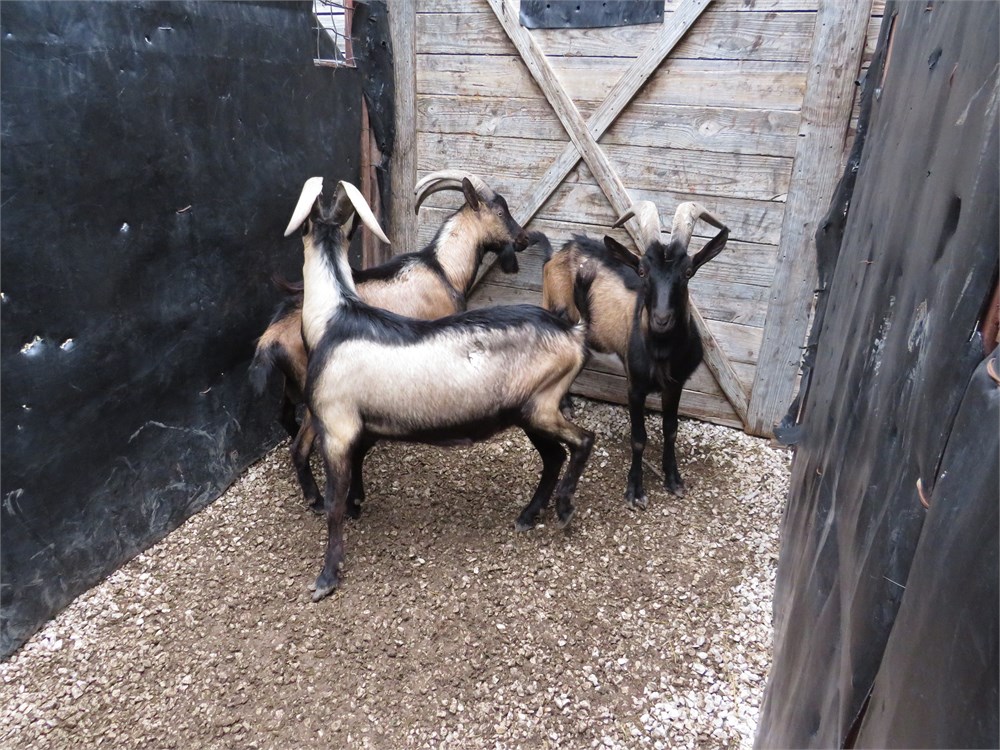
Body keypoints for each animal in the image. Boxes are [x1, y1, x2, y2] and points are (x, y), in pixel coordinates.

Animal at [250, 170, 530, 516]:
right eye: (501, 212)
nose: (524, 239)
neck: (443, 269)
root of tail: (273, 332)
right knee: (298, 446)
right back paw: (315, 499)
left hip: (293, 383)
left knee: (286, 419)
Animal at [285, 177, 595, 601]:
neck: (334, 319)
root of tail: (573, 332)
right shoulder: (365, 424)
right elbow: (358, 465)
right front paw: (357, 503)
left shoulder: (336, 425)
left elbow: (333, 501)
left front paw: (327, 577)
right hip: (529, 411)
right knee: (554, 456)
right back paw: (529, 515)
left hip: (542, 406)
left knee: (581, 442)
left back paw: (563, 509)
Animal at [542, 200, 729, 508]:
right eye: (642, 271)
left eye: (688, 272)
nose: (661, 319)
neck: (662, 353)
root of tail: (564, 249)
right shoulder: (635, 386)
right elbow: (639, 438)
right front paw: (635, 490)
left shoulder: (675, 385)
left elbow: (671, 429)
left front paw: (673, 479)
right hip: (553, 309)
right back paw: (565, 405)